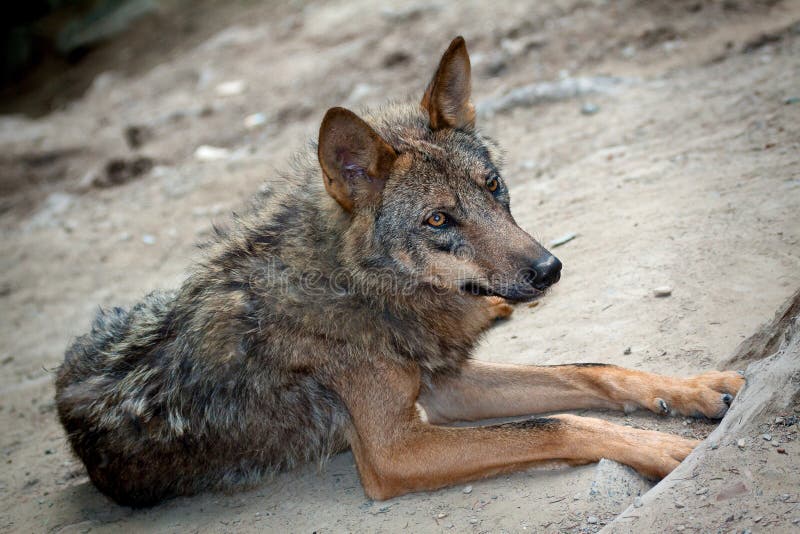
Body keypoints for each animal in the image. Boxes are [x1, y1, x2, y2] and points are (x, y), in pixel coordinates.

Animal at [55, 36, 743, 507]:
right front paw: (665, 448)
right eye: (439, 219)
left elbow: (590, 372)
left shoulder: (444, 388)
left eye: (493, 187)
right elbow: (558, 422)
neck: (362, 288)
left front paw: (696, 389)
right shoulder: (395, 450)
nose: (549, 269)